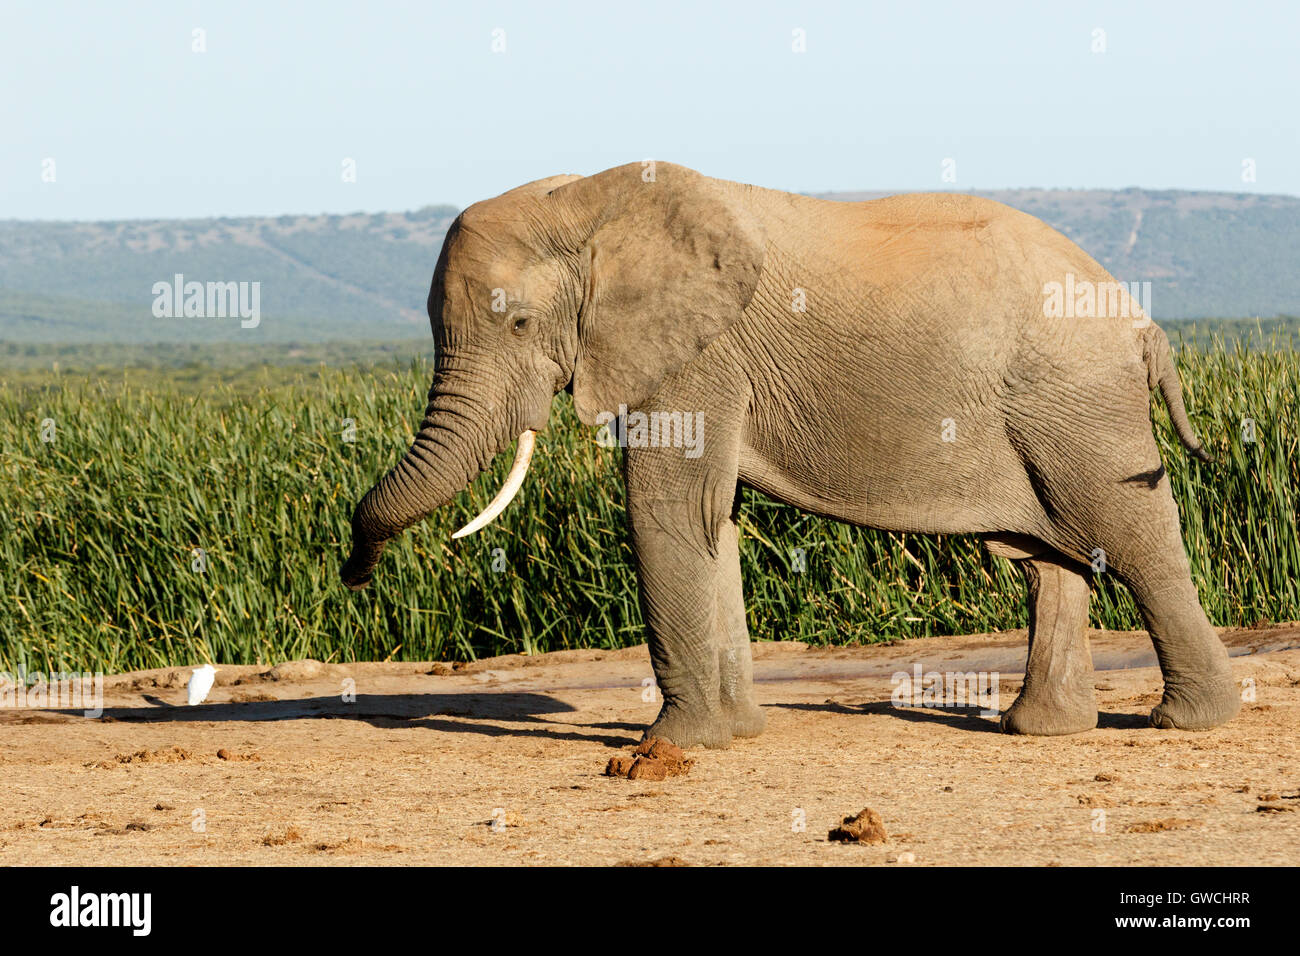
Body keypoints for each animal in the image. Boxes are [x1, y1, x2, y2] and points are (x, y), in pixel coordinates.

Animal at [341, 161, 1239, 748]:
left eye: (521, 323)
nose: (353, 568)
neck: (589, 199)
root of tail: (1144, 323)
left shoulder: (699, 356)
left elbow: (666, 512)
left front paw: (670, 748)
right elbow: (716, 522)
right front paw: (737, 733)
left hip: (1078, 406)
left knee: (1132, 538)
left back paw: (1186, 721)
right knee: (1049, 558)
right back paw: (1039, 730)